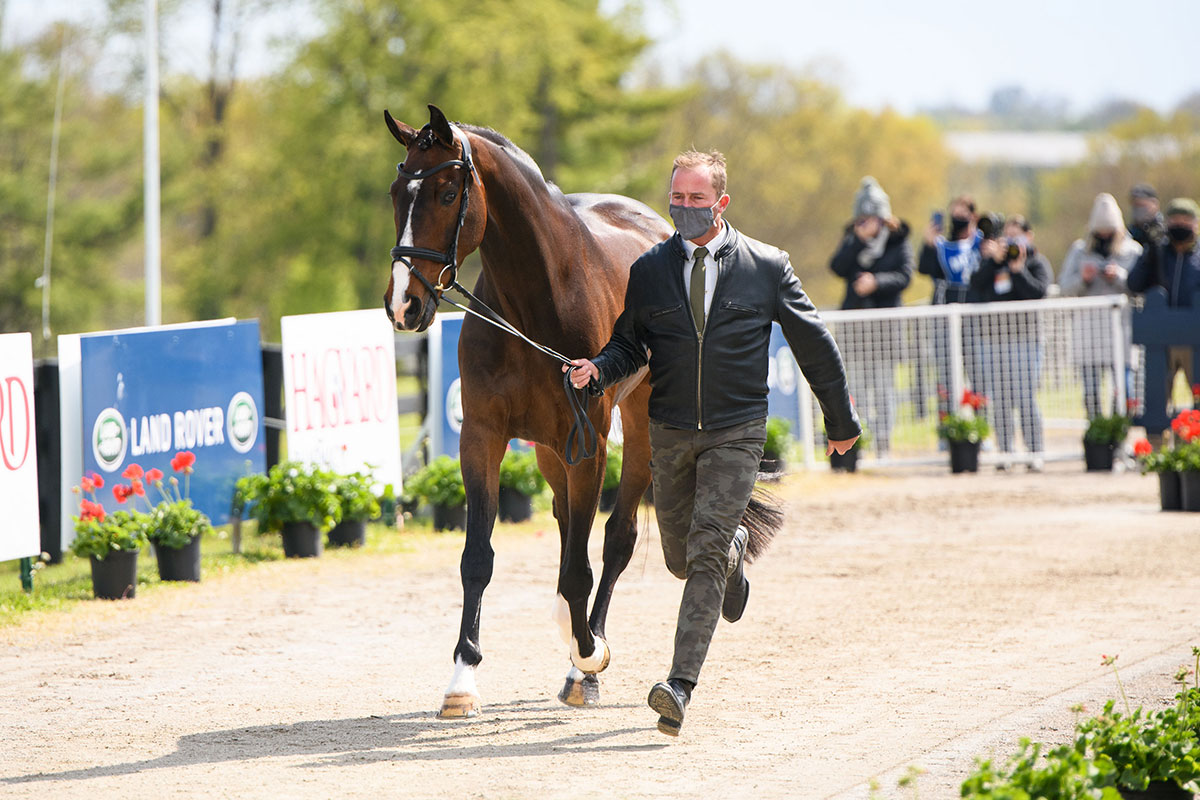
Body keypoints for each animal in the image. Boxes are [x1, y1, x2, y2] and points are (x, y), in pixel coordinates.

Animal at [383, 105, 780, 718]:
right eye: (396, 193)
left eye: (448, 193)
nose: (404, 304)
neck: (534, 304)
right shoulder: (484, 437)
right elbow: (479, 558)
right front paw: (462, 680)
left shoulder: (587, 439)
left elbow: (581, 567)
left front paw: (589, 656)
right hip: (550, 450)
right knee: (568, 521)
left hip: (635, 436)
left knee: (616, 540)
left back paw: (584, 659)